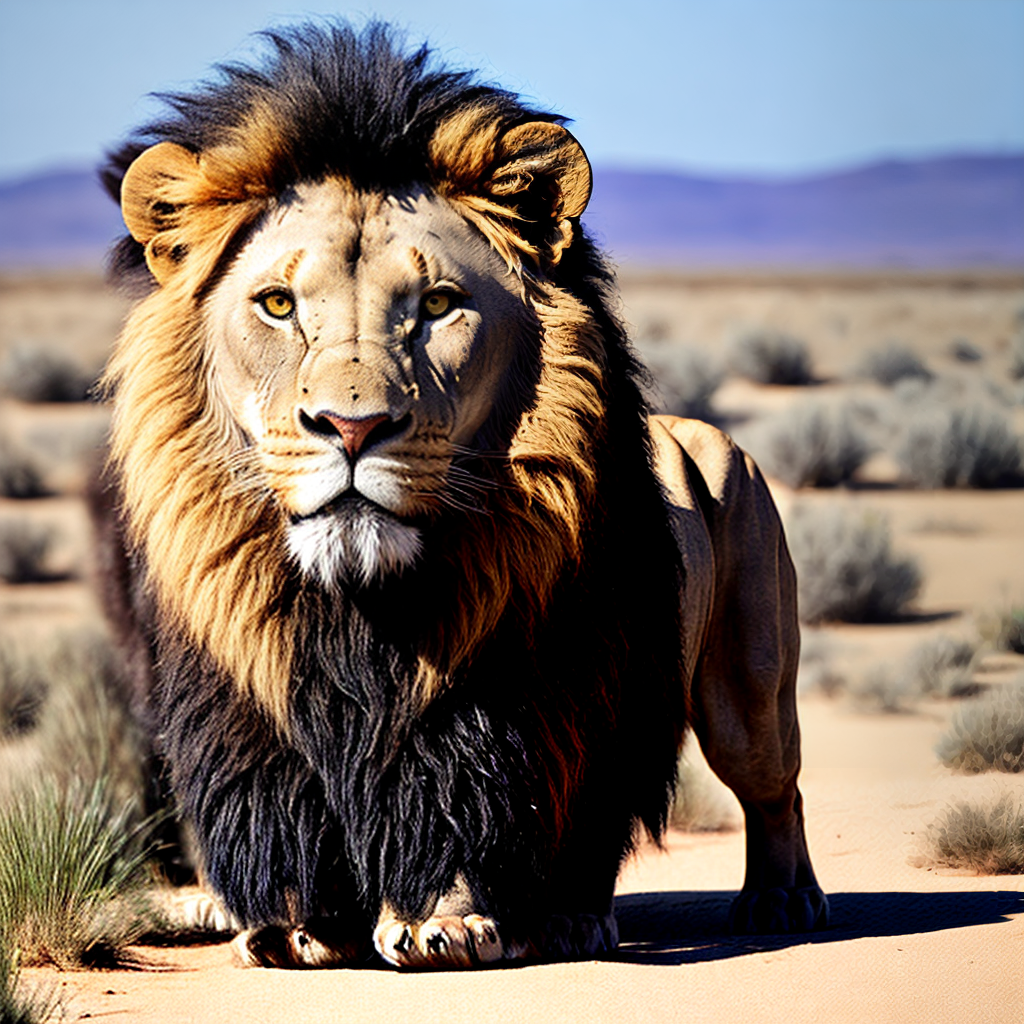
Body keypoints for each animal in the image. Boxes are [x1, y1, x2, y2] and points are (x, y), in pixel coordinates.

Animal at [95, 21, 827, 968]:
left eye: (439, 303)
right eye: (278, 304)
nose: (352, 426)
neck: (355, 608)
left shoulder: (494, 696)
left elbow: (459, 799)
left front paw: (445, 923)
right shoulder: (259, 703)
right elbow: (288, 814)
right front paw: (292, 929)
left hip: (748, 687)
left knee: (773, 788)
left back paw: (770, 899)